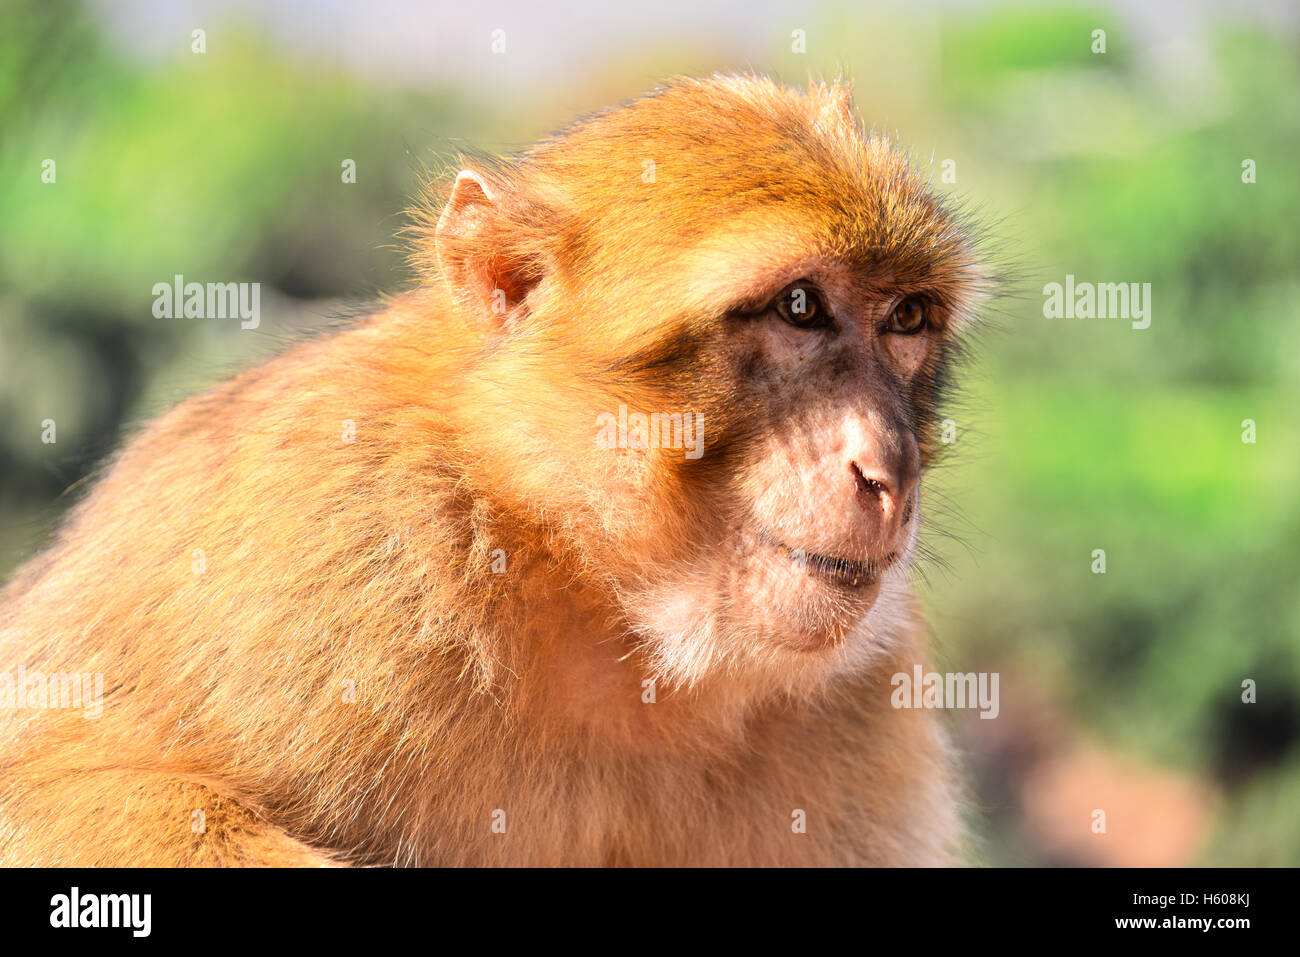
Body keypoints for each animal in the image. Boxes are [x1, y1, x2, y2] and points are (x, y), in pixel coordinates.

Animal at [0, 75, 986, 866]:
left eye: (906, 318)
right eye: (800, 307)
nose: (888, 468)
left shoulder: (866, 703)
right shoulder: (321, 553)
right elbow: (44, 774)